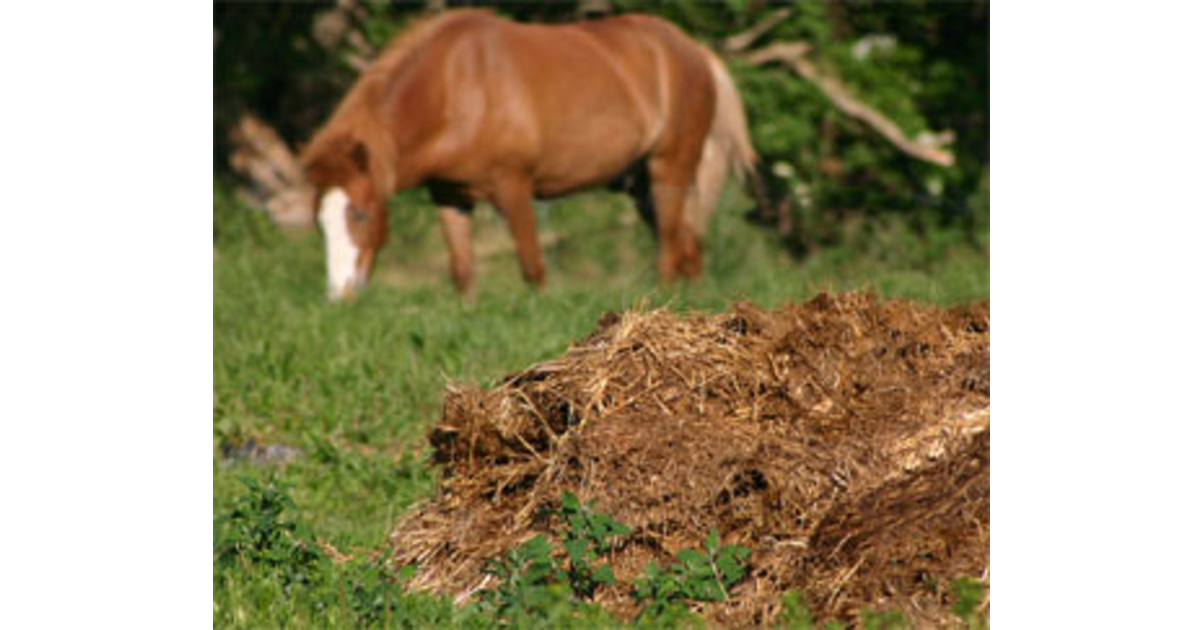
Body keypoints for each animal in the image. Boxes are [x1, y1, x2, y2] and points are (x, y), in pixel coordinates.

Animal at [301, 9, 758, 300]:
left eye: (360, 214)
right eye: (320, 221)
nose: (340, 294)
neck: (455, 88)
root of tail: (696, 50)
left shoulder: (513, 187)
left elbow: (532, 267)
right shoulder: (450, 196)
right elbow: (463, 271)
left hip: (670, 170)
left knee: (669, 247)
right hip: (640, 184)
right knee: (687, 245)